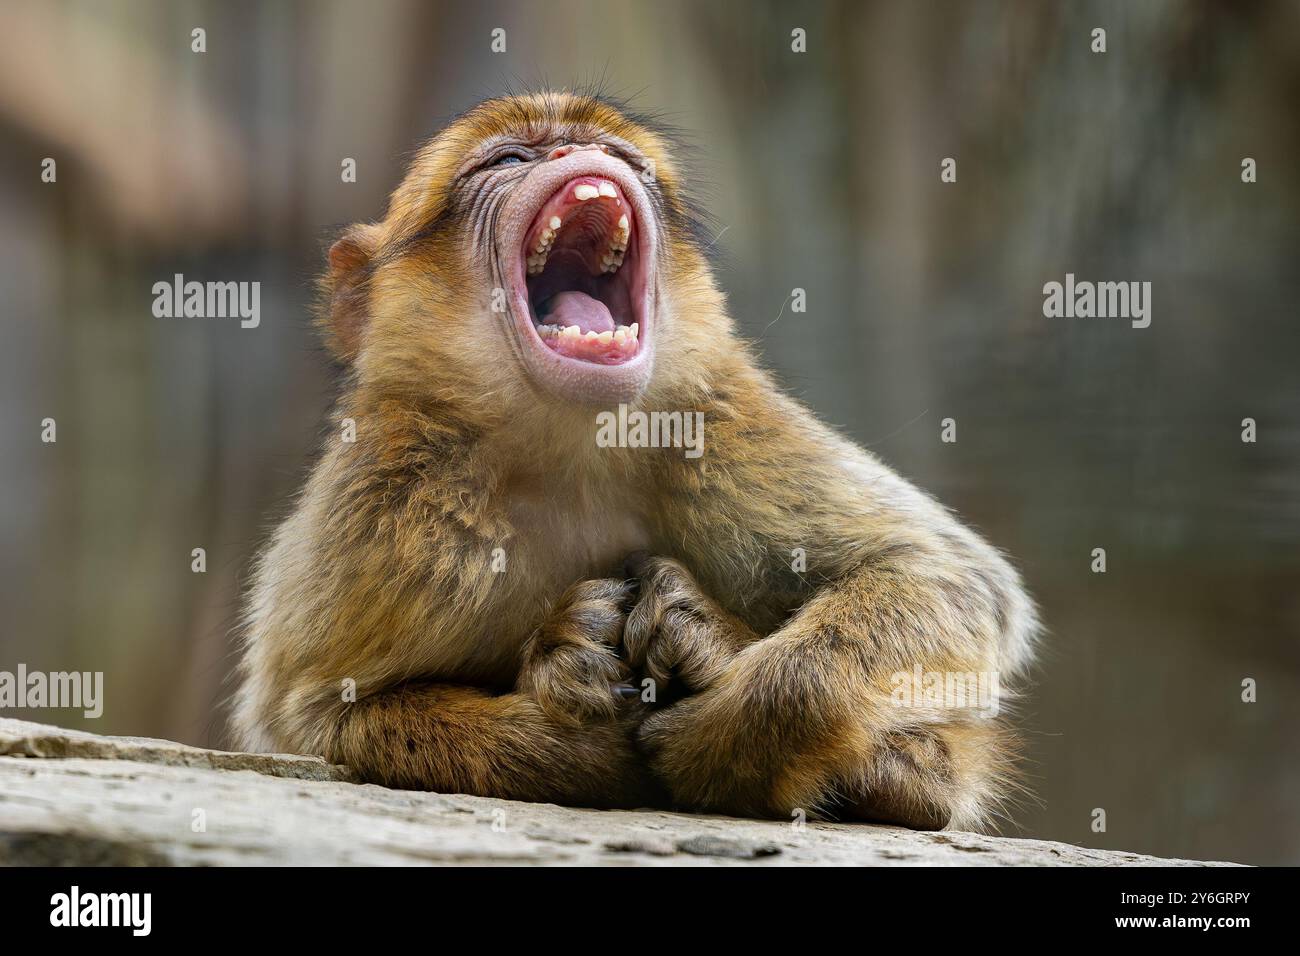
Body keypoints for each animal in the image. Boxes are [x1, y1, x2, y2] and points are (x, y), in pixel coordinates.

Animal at [231, 91, 1039, 831]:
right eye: (506, 160)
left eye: (621, 156)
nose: (575, 153)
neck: (572, 449)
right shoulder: (387, 508)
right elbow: (313, 715)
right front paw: (572, 712)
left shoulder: (727, 433)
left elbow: (949, 576)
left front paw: (734, 734)